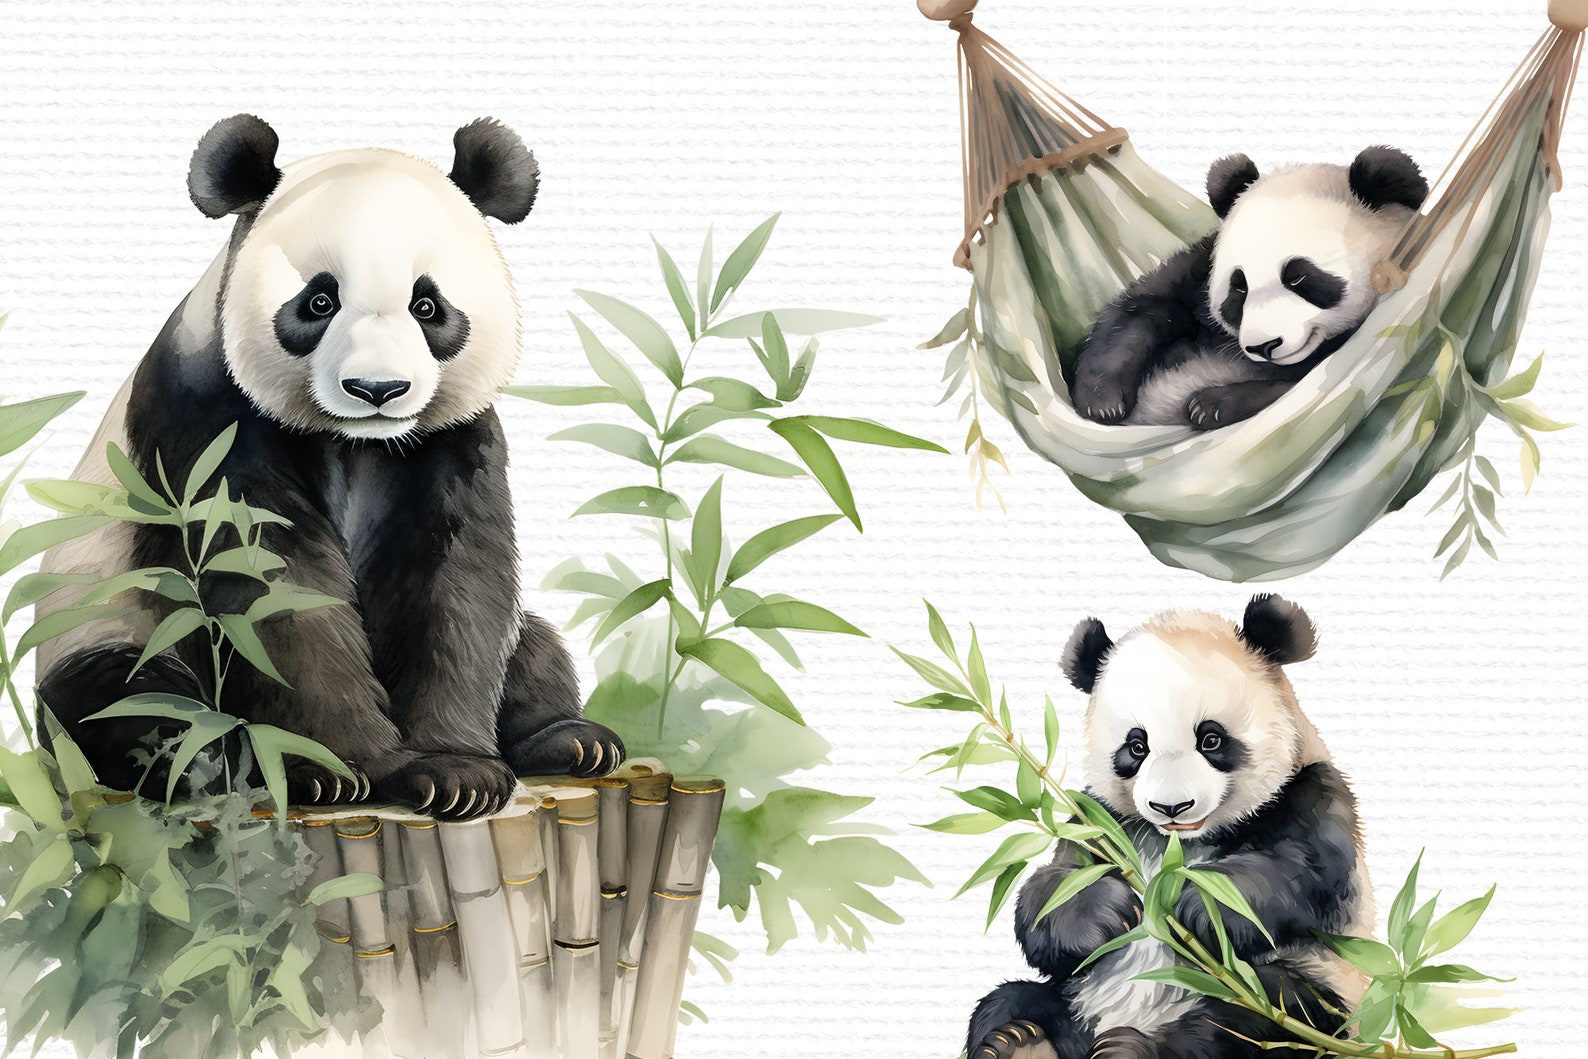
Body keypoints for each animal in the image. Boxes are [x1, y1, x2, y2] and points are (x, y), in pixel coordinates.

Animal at [33, 115, 624, 821]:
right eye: (319, 301)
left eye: (428, 306)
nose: (378, 389)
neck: (351, 440)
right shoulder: (205, 416)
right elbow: (268, 583)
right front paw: (334, 769)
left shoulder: (447, 439)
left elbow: (451, 581)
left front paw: (456, 769)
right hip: (102, 619)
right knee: (131, 700)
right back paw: (220, 761)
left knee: (532, 645)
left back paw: (570, 739)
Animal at [966, 595, 1371, 1059]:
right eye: (1136, 746)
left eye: (1211, 739)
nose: (1171, 806)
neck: (1183, 841)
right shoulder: (1101, 821)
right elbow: (1051, 891)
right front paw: (1107, 911)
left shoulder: (1311, 791)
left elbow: (1299, 873)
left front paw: (1194, 901)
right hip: (1070, 998)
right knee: (1008, 1000)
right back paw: (1017, 1041)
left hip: (1315, 997)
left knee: (1252, 1019)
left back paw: (1128, 1048)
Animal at [1070, 147, 1428, 430]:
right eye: (1238, 287)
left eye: (1298, 277)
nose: (1264, 346)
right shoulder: (1195, 272)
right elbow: (1142, 307)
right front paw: (1102, 401)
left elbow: (1290, 389)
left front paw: (1209, 405)